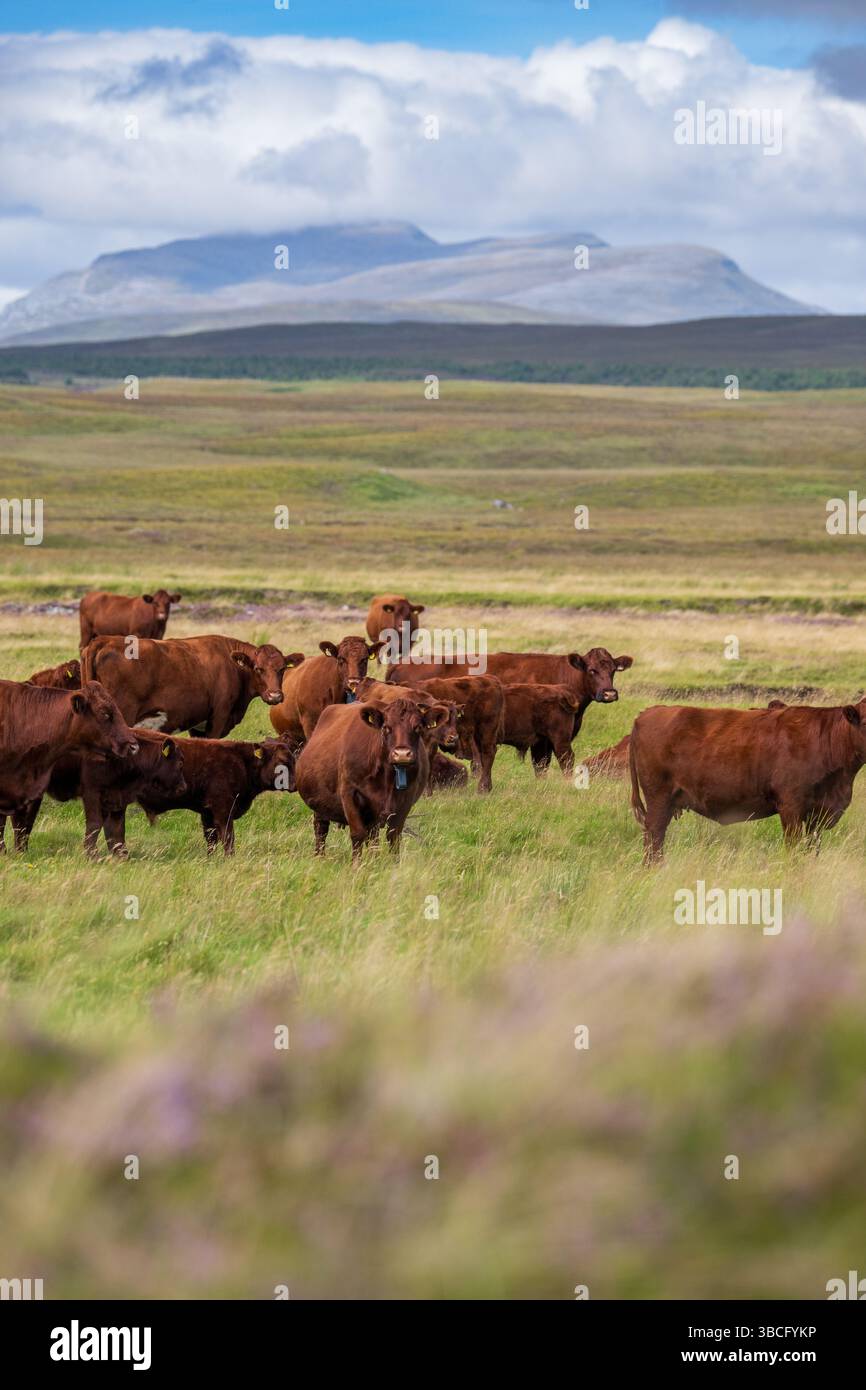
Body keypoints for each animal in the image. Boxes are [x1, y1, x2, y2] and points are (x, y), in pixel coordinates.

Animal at [3, 730, 185, 859]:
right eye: (179, 762)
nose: (184, 787)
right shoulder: (92, 793)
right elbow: (95, 824)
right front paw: (92, 855)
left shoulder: (115, 799)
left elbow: (116, 828)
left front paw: (122, 856)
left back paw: (19, 851)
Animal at [81, 635, 304, 738]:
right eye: (258, 668)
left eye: (282, 669)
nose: (275, 696)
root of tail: (105, 640)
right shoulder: (219, 717)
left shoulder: (199, 726)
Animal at [138, 735, 298, 856]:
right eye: (282, 761)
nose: (295, 784)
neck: (242, 761)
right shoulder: (223, 810)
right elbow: (228, 838)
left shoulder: (207, 813)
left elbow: (211, 839)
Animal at [294, 697, 450, 862]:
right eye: (386, 727)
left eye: (418, 727)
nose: (402, 754)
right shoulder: (349, 794)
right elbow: (357, 834)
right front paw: (356, 864)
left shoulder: (405, 801)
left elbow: (394, 836)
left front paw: (393, 864)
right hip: (319, 804)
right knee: (321, 829)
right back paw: (320, 857)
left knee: (373, 837)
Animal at [629, 699, 866, 862]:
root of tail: (646, 714)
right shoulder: (791, 807)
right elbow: (794, 846)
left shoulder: (817, 815)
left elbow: (811, 848)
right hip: (659, 799)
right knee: (654, 836)